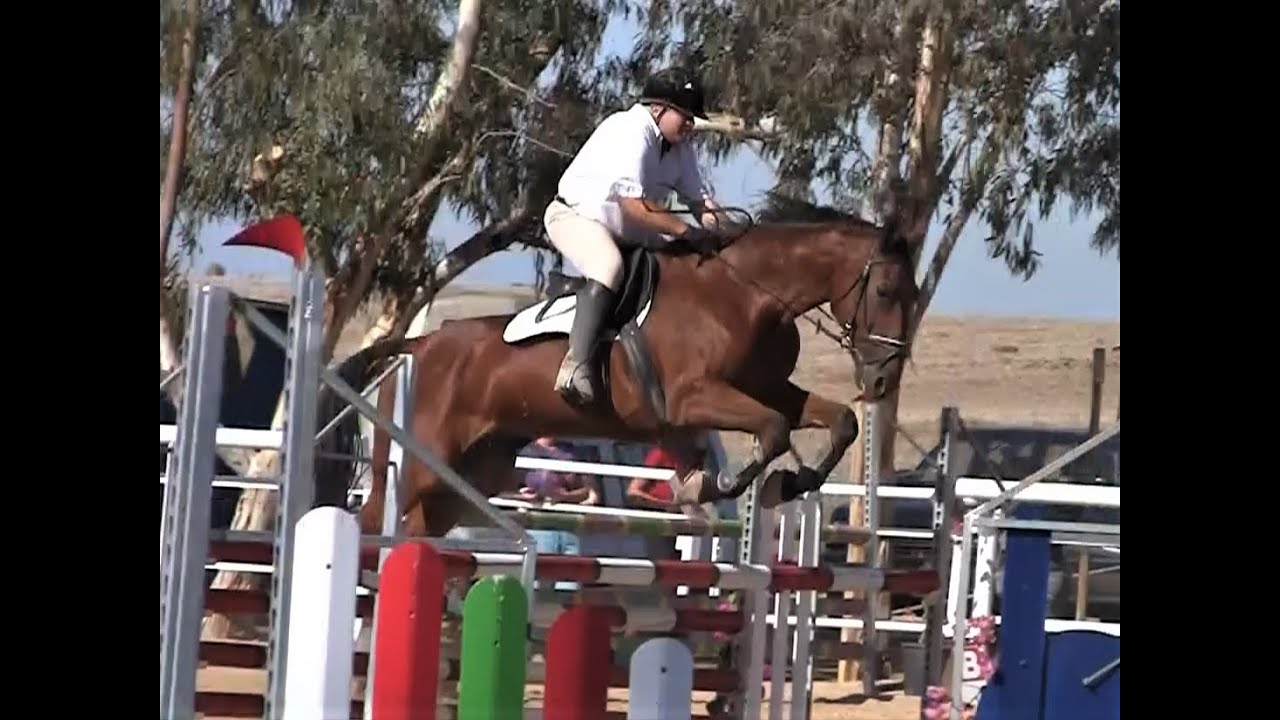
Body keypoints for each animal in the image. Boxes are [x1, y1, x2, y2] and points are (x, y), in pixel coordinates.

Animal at [316, 199, 920, 538]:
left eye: (914, 294)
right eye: (885, 290)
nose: (882, 380)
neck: (746, 296)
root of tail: (418, 347)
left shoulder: (768, 387)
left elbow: (840, 421)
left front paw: (791, 484)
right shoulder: (692, 398)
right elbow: (771, 431)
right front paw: (707, 485)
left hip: (464, 479)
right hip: (418, 466)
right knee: (369, 524)